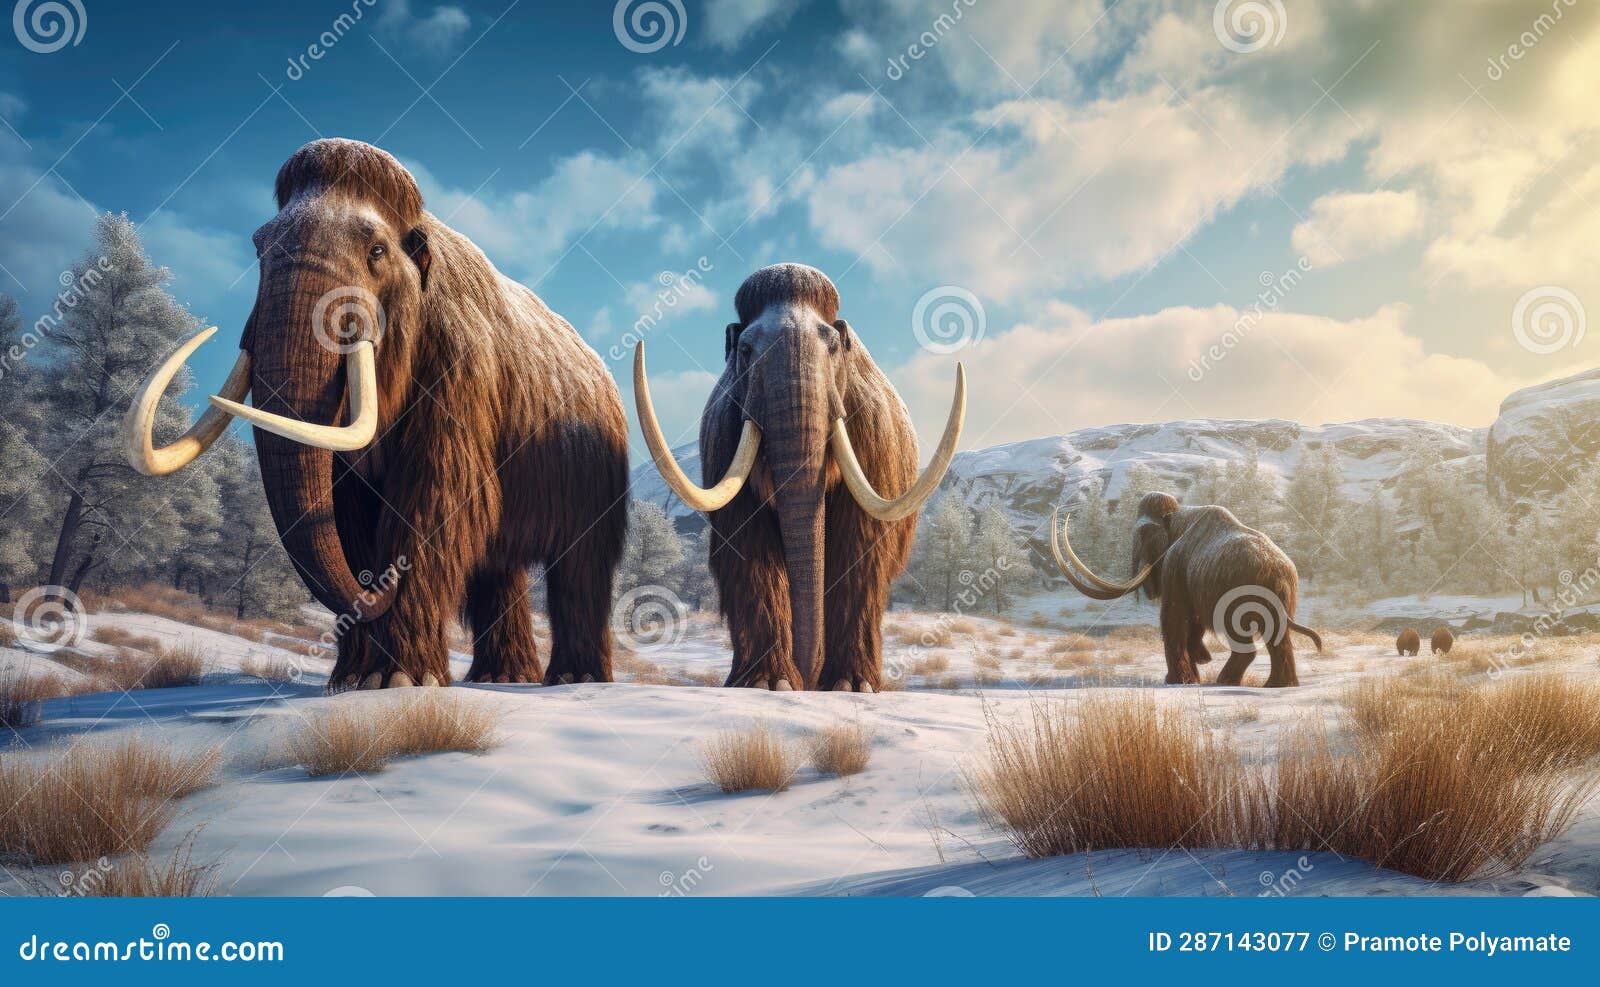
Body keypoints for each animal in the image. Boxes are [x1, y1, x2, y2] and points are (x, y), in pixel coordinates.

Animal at [123, 138, 629, 689]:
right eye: (259, 247)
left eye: (376, 252)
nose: (375, 592)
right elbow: (349, 513)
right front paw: (353, 680)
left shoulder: (461, 372)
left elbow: (434, 498)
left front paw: (401, 680)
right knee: (499, 569)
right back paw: (504, 678)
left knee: (579, 571)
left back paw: (576, 678)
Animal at [633, 264, 965, 691]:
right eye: (745, 350)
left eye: (834, 347)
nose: (809, 674)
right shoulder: (723, 440)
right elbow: (748, 547)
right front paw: (768, 683)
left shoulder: (872, 442)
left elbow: (857, 551)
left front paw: (851, 685)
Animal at [1050, 492, 1322, 687]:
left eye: (1140, 535)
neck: (1178, 518)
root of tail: (1277, 572)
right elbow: (1193, 624)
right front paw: (1197, 667)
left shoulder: (1174, 567)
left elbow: (1174, 620)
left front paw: (1178, 680)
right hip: (1282, 603)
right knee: (1278, 640)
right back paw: (1278, 685)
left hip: (1237, 602)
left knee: (1247, 646)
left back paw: (1225, 680)